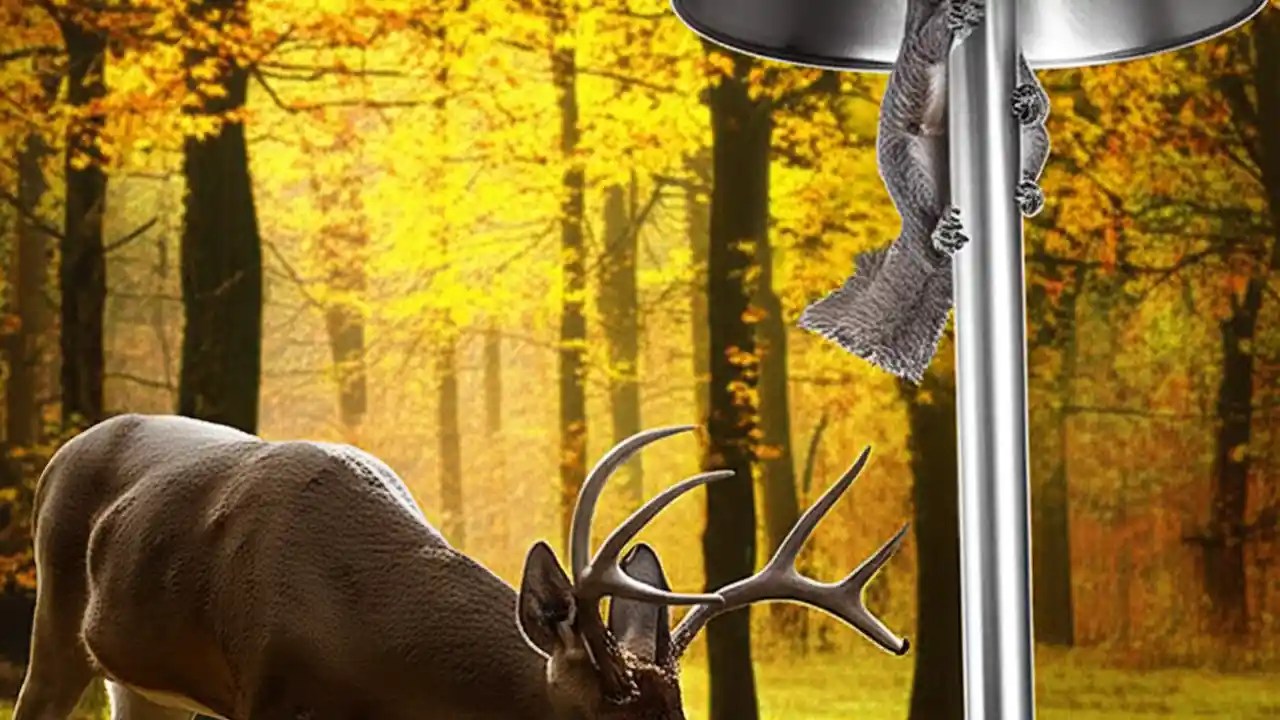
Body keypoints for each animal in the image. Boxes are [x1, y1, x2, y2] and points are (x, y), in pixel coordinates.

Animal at [13, 413, 909, 720]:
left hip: (144, 687)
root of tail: (65, 451)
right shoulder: (264, 693)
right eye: (611, 711)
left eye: (677, 714)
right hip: (53, 622)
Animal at [797, 0, 1050, 383]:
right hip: (911, 159)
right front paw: (955, 15)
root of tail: (914, 231)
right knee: (930, 216)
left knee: (1033, 140)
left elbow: (1042, 102)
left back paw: (1030, 195)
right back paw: (941, 234)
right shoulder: (917, 40)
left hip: (1033, 142)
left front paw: (1029, 101)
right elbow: (928, 40)